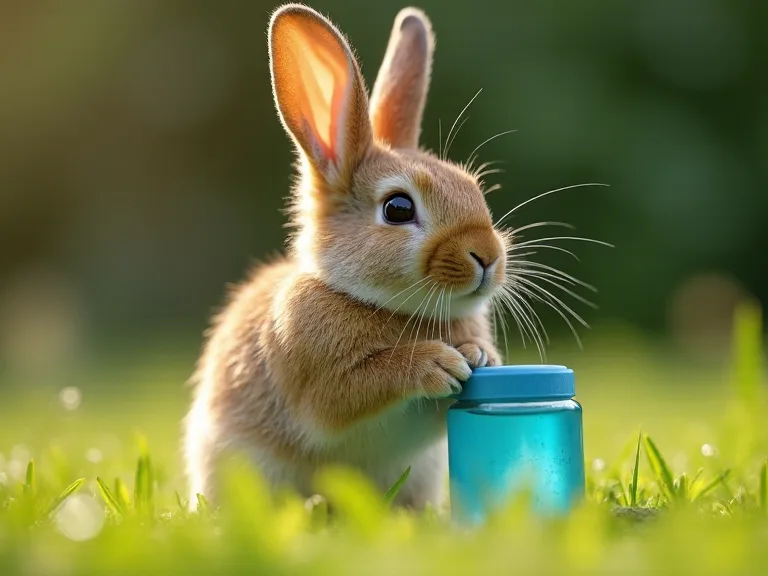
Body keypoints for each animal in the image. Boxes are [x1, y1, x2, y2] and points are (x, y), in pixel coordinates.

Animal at [183, 3, 508, 511]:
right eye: (398, 208)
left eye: (474, 189)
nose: (489, 257)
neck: (385, 307)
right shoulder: (314, 381)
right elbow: (349, 393)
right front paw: (436, 364)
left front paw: (479, 355)